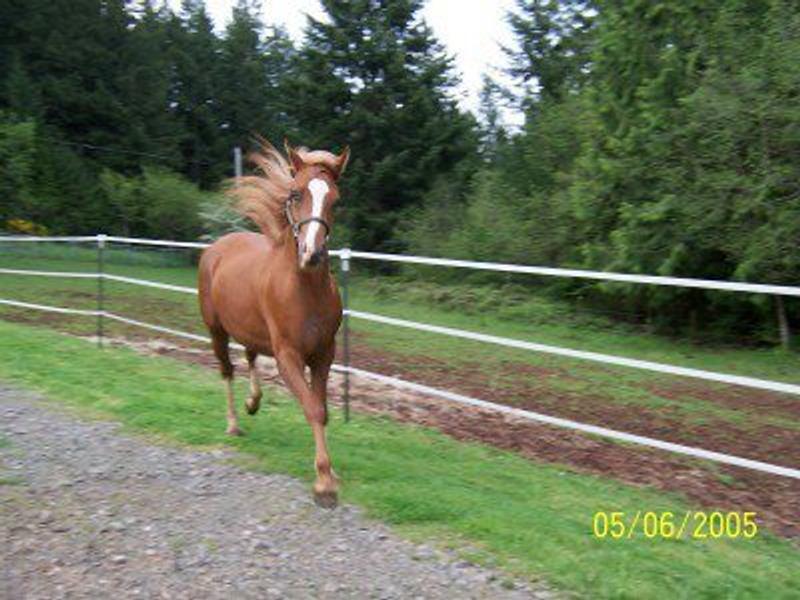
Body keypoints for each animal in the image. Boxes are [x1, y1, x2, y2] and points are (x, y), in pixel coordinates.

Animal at [198, 139, 350, 507]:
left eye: (336, 200)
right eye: (296, 193)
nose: (312, 254)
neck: (305, 290)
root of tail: (217, 247)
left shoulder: (323, 355)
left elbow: (323, 408)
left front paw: (332, 473)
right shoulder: (288, 356)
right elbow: (312, 409)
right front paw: (324, 483)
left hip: (249, 329)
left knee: (250, 357)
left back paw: (253, 403)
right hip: (217, 331)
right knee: (227, 370)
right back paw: (234, 423)